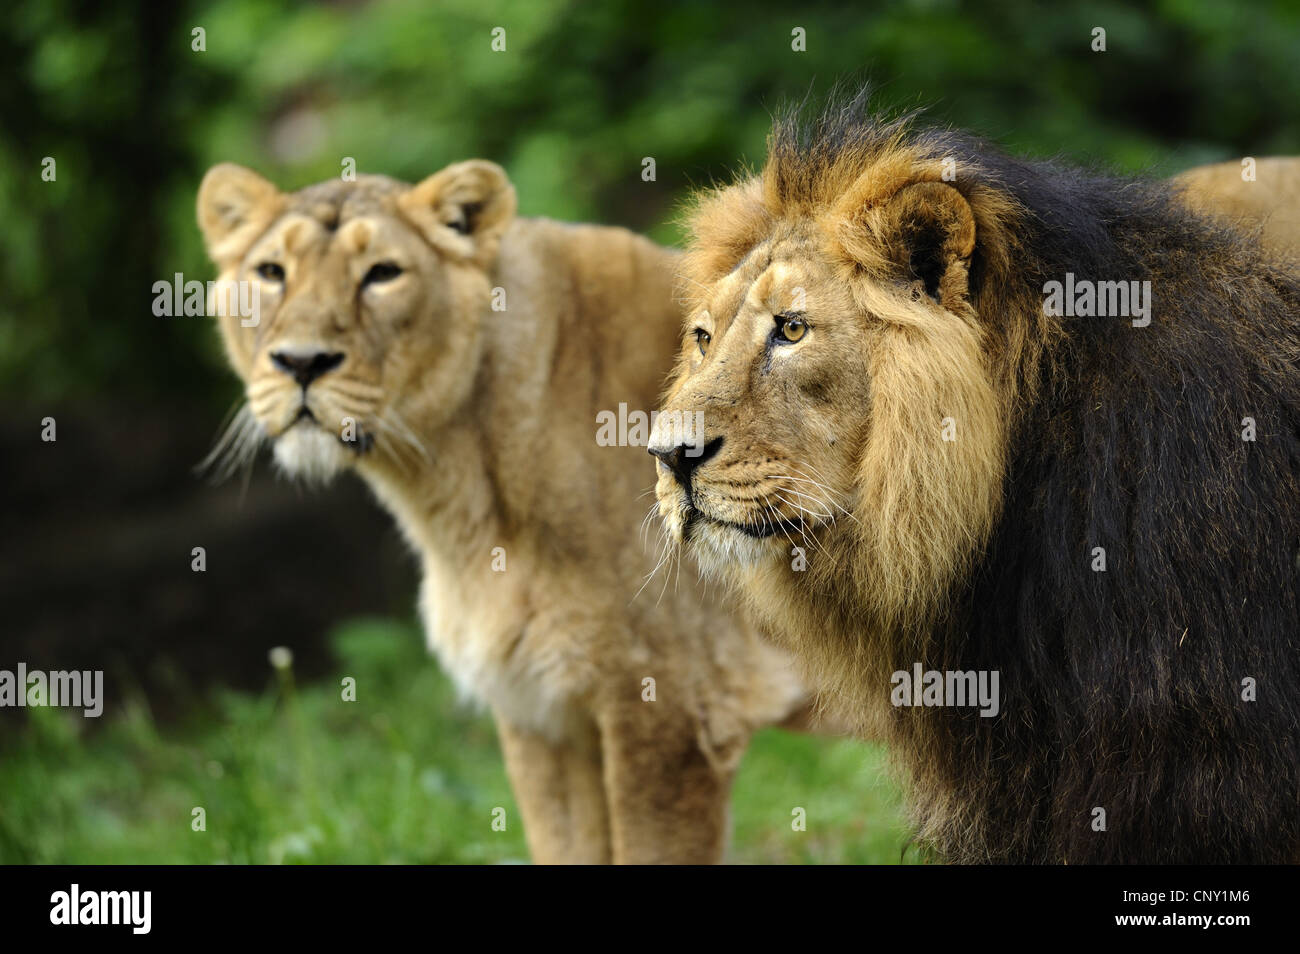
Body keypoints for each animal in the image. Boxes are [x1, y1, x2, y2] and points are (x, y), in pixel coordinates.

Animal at [196, 160, 821, 864]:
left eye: (383, 273)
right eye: (271, 271)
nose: (301, 362)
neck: (458, 487)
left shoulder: (673, 709)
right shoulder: (541, 713)